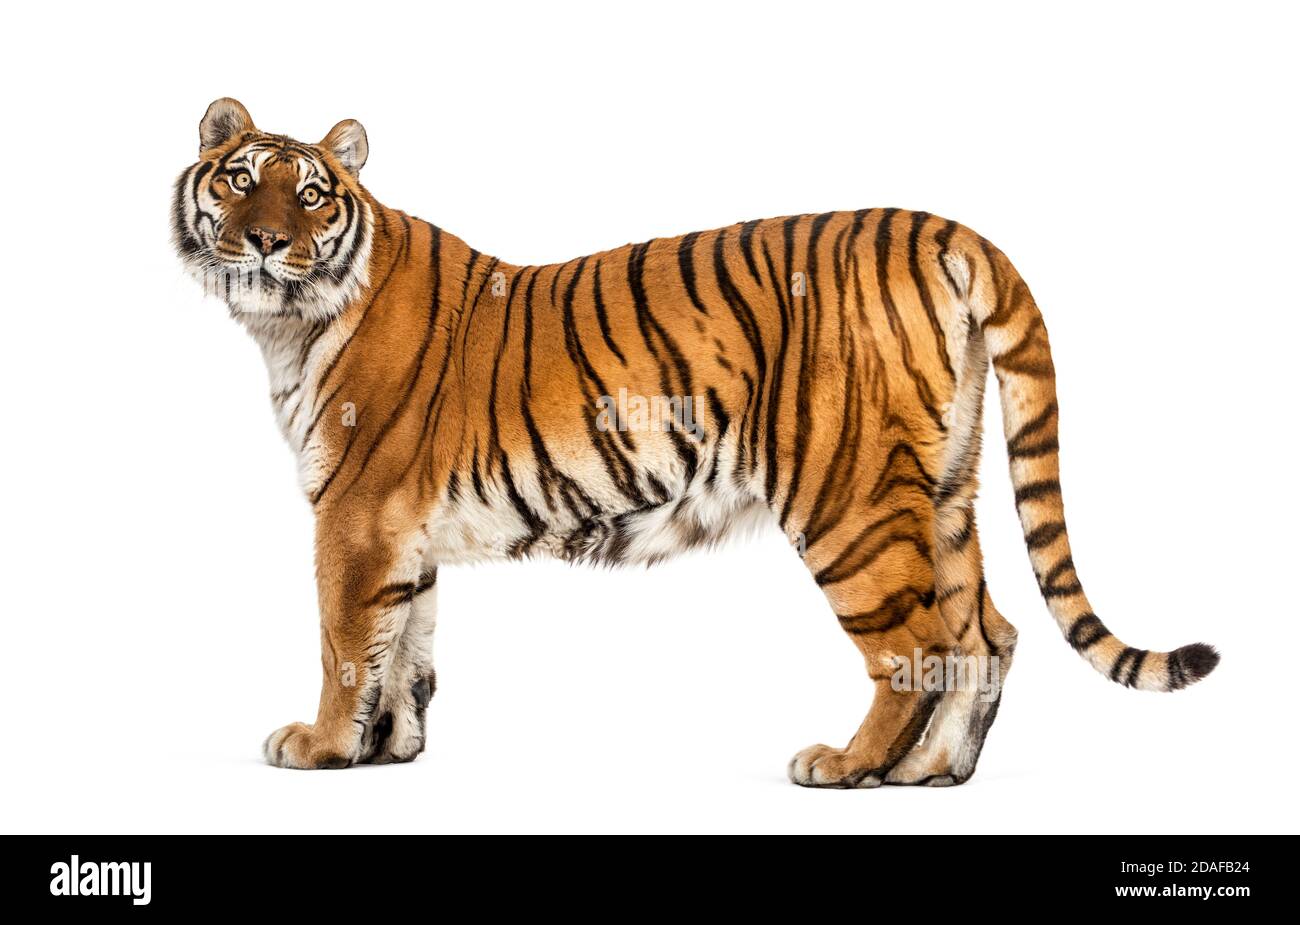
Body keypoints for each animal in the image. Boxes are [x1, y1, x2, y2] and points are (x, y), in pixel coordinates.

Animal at [173, 98, 1219, 785]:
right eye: (241, 180)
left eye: (312, 195)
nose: (264, 242)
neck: (286, 324)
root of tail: (944, 229)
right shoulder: (404, 530)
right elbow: (406, 643)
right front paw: (387, 751)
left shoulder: (355, 515)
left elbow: (346, 643)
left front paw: (319, 747)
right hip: (946, 487)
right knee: (985, 633)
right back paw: (933, 772)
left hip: (849, 500)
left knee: (917, 643)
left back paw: (849, 763)